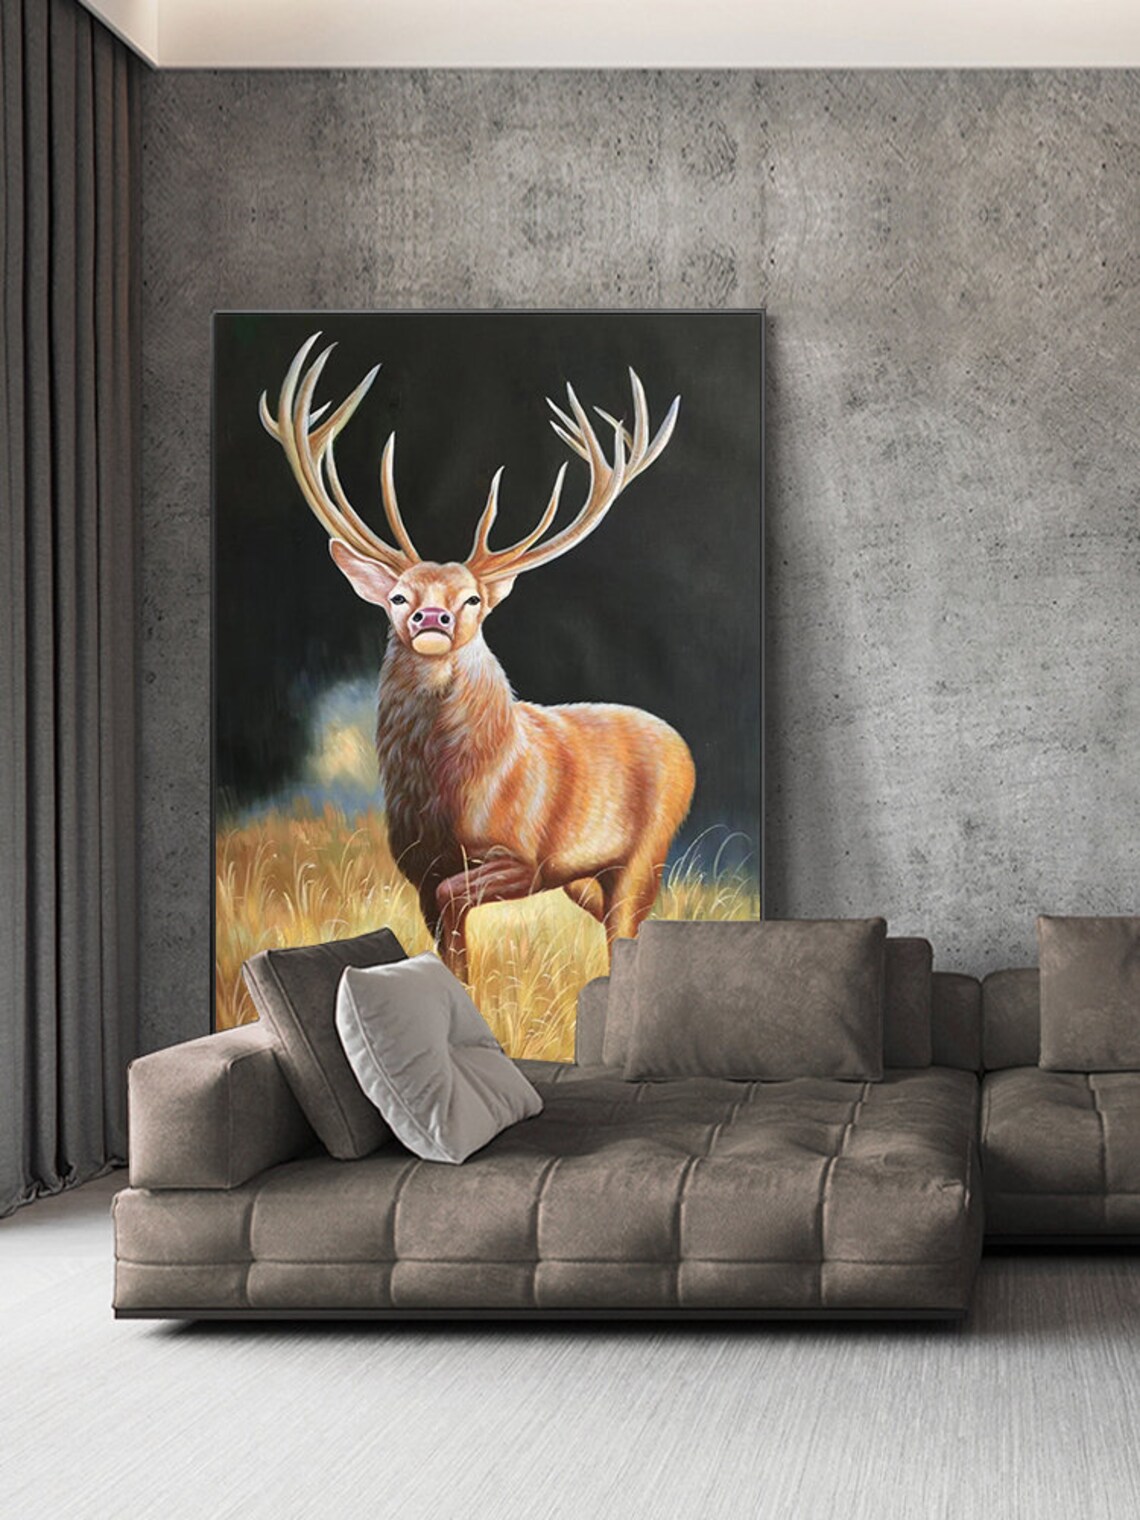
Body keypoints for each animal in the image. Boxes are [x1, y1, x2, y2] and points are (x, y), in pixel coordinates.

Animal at [260, 333, 696, 980]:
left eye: (471, 599)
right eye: (398, 596)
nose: (431, 618)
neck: (454, 793)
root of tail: (682, 745)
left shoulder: (526, 856)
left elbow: (461, 899)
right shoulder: (419, 872)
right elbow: (451, 960)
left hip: (646, 852)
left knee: (628, 930)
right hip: (587, 879)